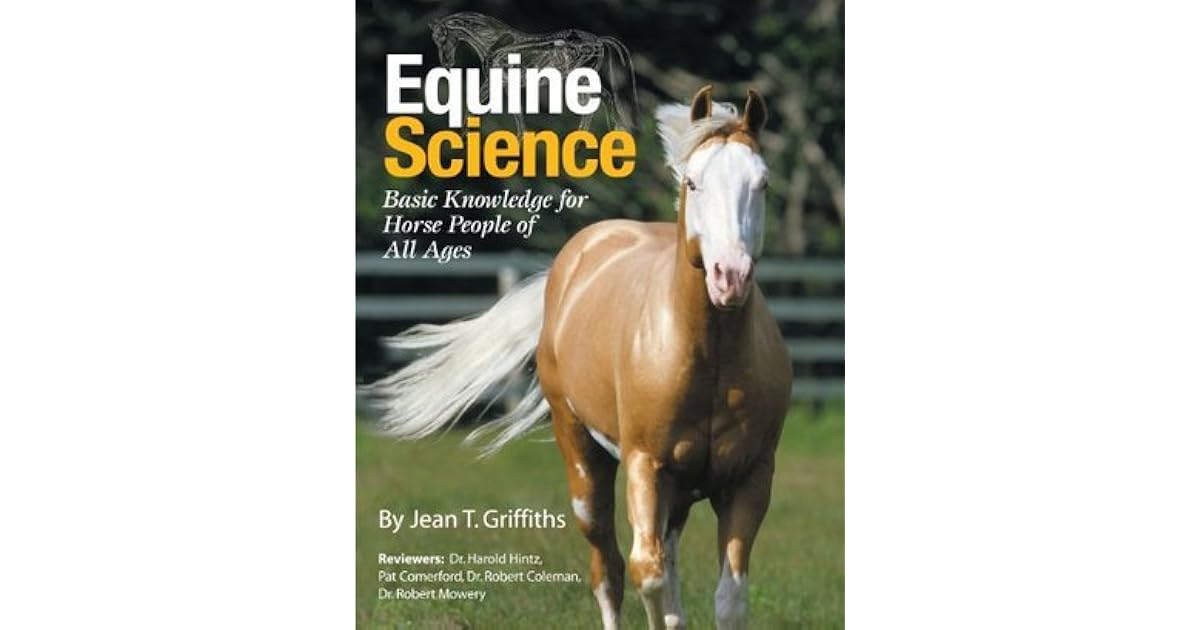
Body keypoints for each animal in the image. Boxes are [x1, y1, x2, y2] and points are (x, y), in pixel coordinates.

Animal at [364, 85, 791, 629]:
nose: (729, 277)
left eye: (762, 183)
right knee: (608, 569)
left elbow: (727, 598)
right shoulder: (645, 465)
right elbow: (646, 574)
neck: (707, 355)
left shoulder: (750, 477)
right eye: (692, 183)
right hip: (586, 465)